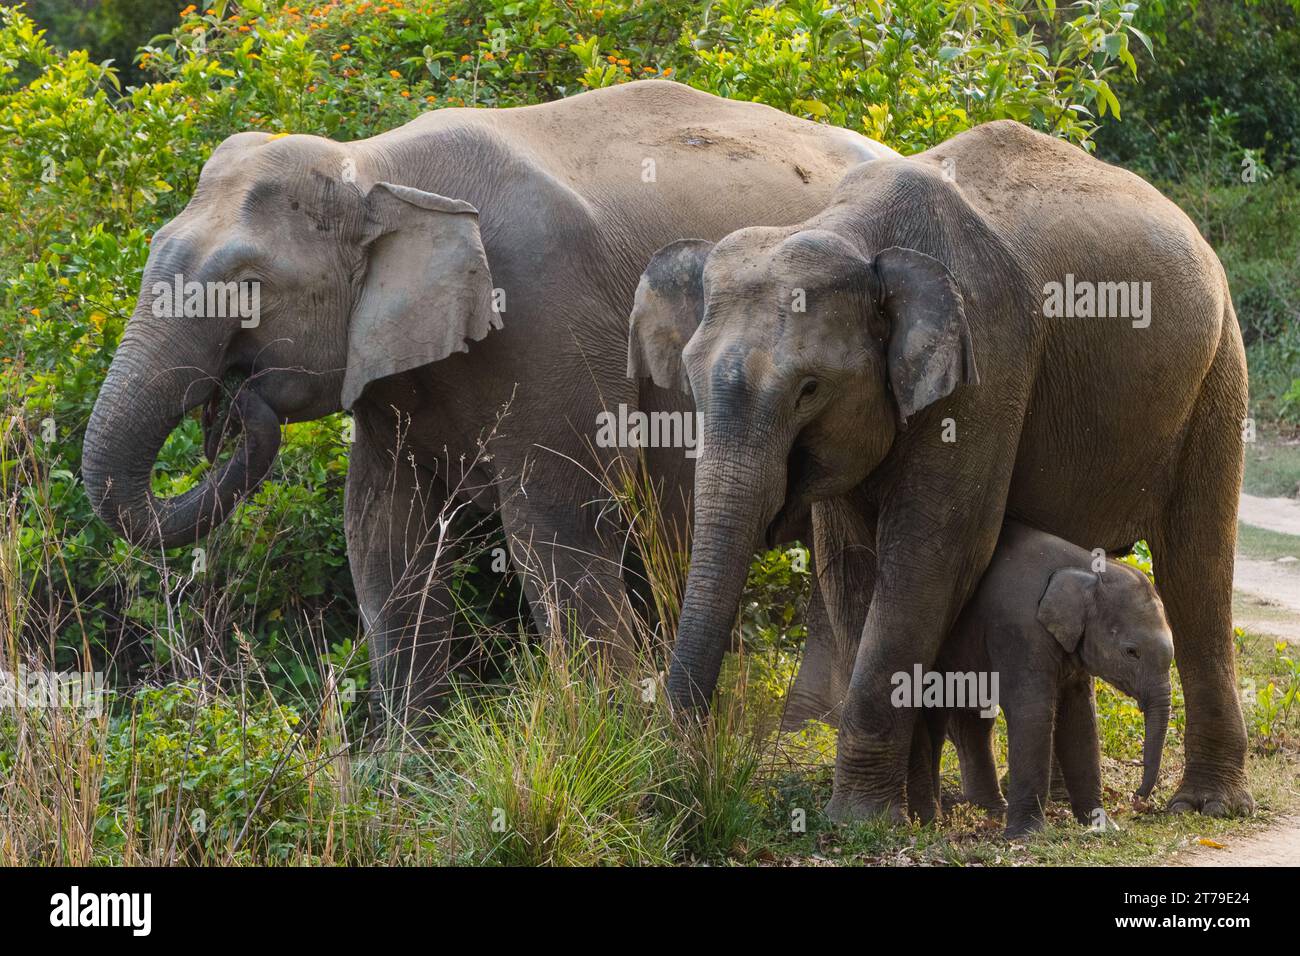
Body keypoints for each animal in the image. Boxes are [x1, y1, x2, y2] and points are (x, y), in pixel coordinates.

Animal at [81, 80, 897, 720]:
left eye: (247, 286)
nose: (235, 399)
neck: (378, 168)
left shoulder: (553, 322)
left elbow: (556, 525)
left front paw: (609, 742)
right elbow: (380, 532)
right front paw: (403, 770)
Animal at [908, 521, 1174, 838]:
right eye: (1131, 652)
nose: (1137, 798)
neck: (1087, 567)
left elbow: (1080, 719)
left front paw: (1101, 826)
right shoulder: (1018, 630)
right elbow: (1032, 713)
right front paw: (1026, 835)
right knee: (933, 718)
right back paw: (930, 819)